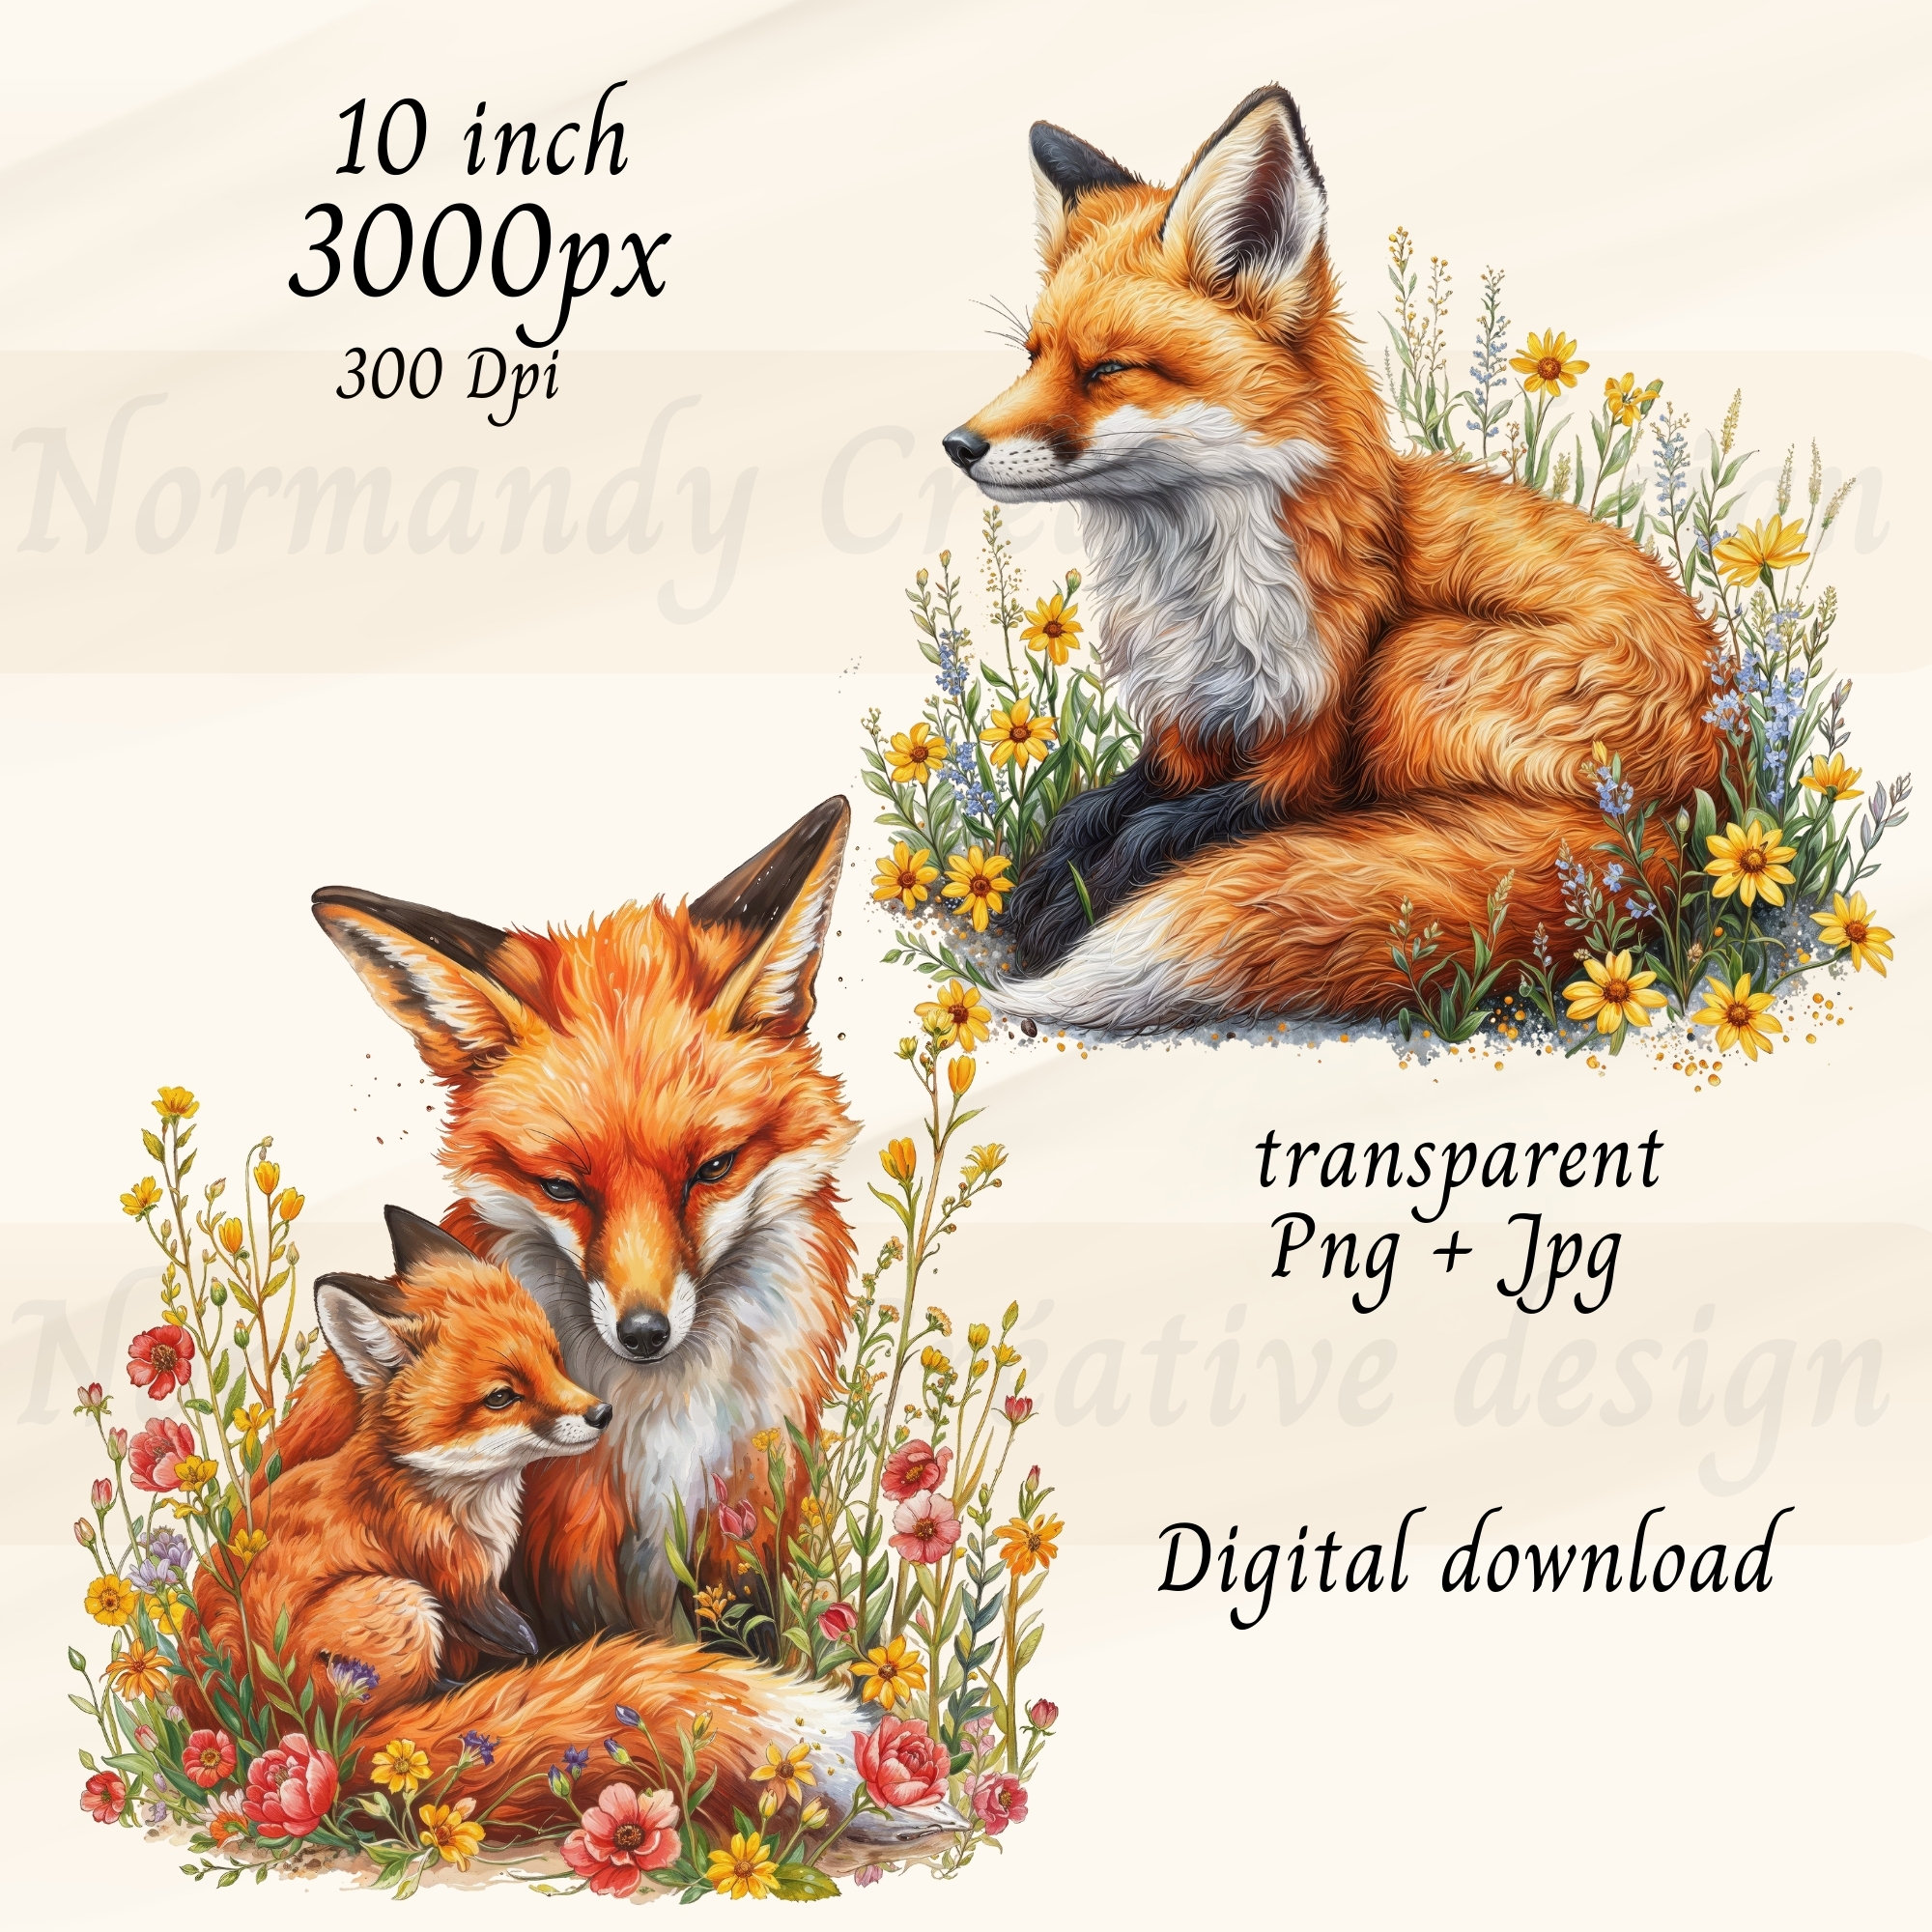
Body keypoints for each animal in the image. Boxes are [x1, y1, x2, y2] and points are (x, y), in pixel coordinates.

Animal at [184, 1202, 906, 1839]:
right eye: (502, 1397)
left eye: (555, 1358)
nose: (601, 1414)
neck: (458, 1491)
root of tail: (257, 1725)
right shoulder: (453, 1578)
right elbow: (514, 1631)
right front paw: (532, 1670)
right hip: (398, 1604)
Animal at [278, 799, 858, 1654]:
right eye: (560, 1187)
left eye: (713, 1168)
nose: (644, 1333)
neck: (664, 1424)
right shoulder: (565, 1541)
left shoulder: (747, 1510)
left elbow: (748, 1637)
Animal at [941, 86, 1724, 1032]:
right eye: (1033, 357)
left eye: (1110, 370)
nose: (959, 446)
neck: (1201, 598)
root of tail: (1677, 822)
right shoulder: (1185, 722)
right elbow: (1104, 805)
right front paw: (1050, 869)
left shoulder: (1313, 744)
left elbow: (1174, 827)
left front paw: (1080, 896)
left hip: (1410, 662)